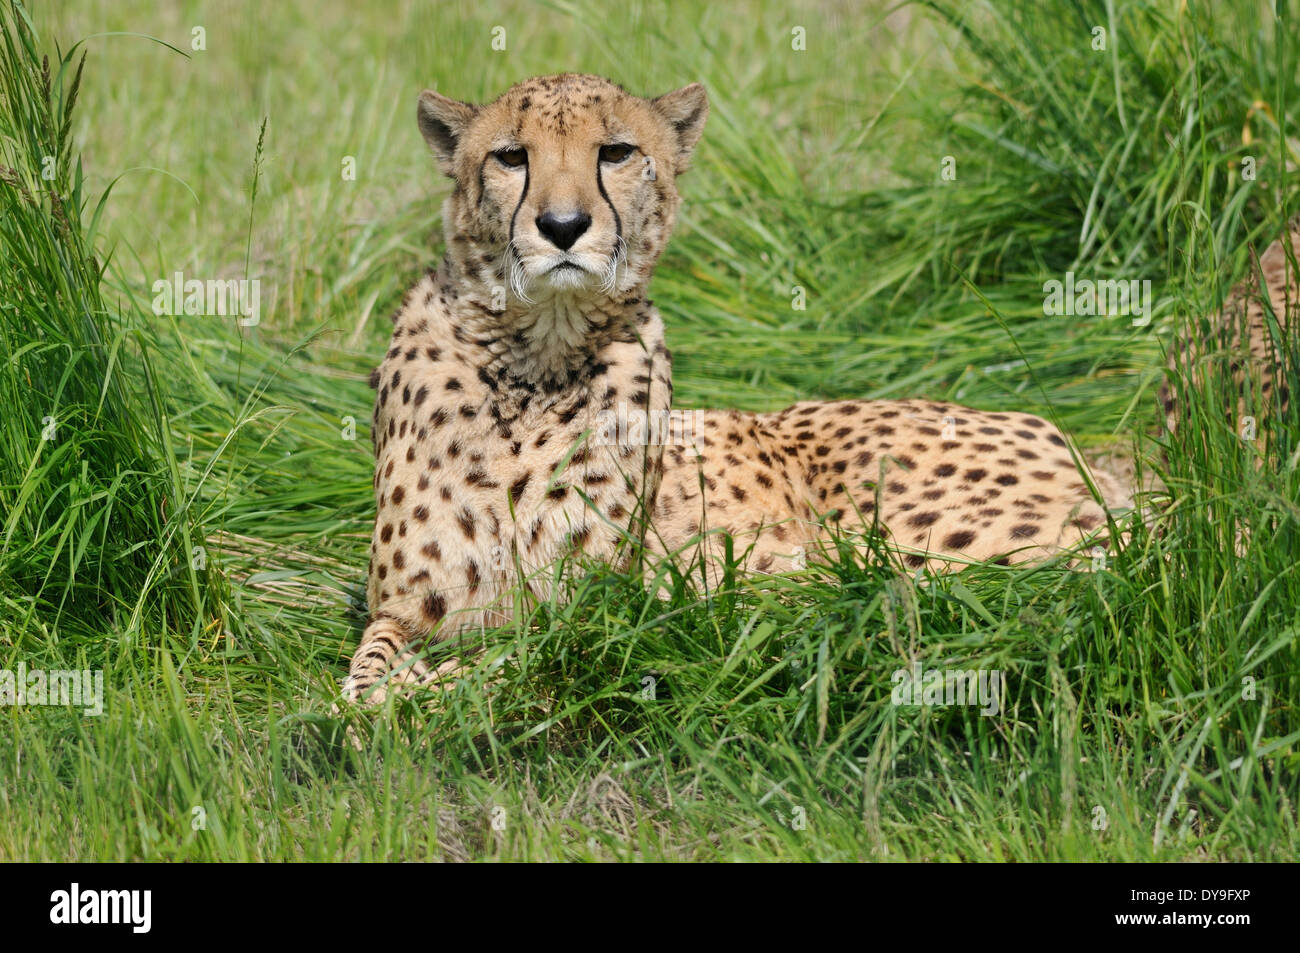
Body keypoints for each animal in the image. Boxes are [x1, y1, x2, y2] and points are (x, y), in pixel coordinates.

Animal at [342, 73, 1133, 705]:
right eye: (511, 157)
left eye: (615, 153)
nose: (563, 226)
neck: (536, 361)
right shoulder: (400, 609)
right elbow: (363, 672)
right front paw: (385, 691)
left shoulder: (587, 612)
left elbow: (489, 663)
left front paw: (422, 690)